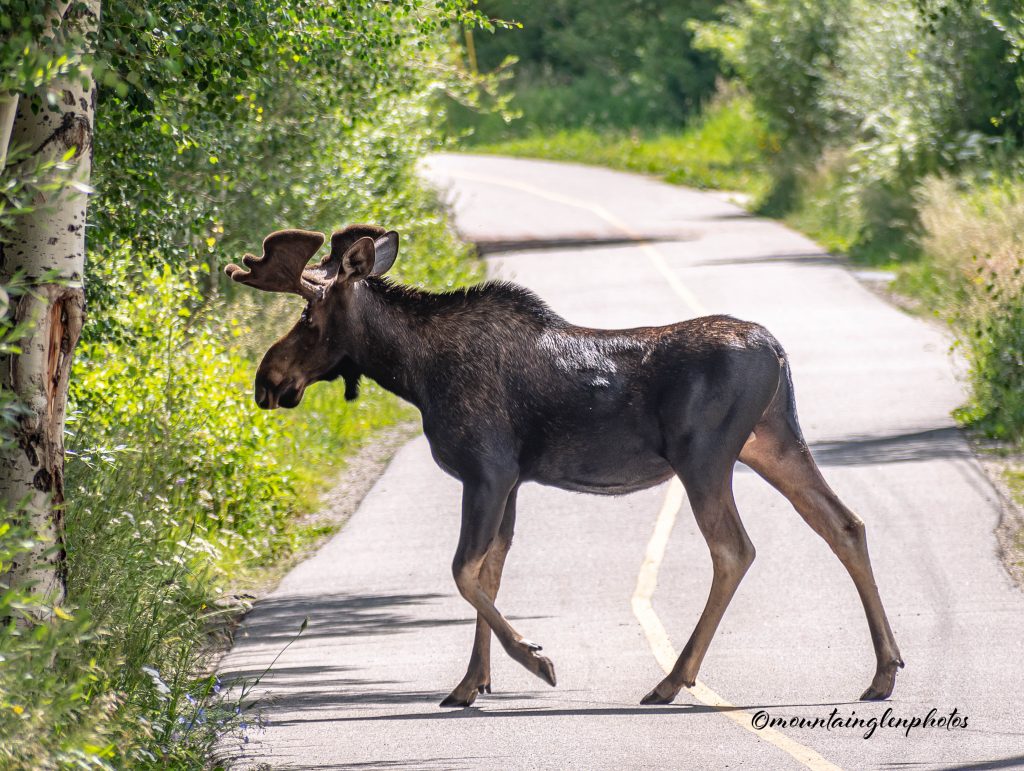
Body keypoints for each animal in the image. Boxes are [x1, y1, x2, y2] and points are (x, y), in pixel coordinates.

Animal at [227, 224, 904, 708]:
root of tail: (778, 351)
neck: (413, 374)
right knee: (844, 524)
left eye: (308, 318)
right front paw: (471, 684)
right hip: (774, 441)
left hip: (705, 455)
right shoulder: (510, 480)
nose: (267, 381)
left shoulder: (487, 469)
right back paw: (884, 671)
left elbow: (464, 572)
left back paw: (671, 680)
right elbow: (489, 573)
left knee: (735, 549)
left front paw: (535, 661)